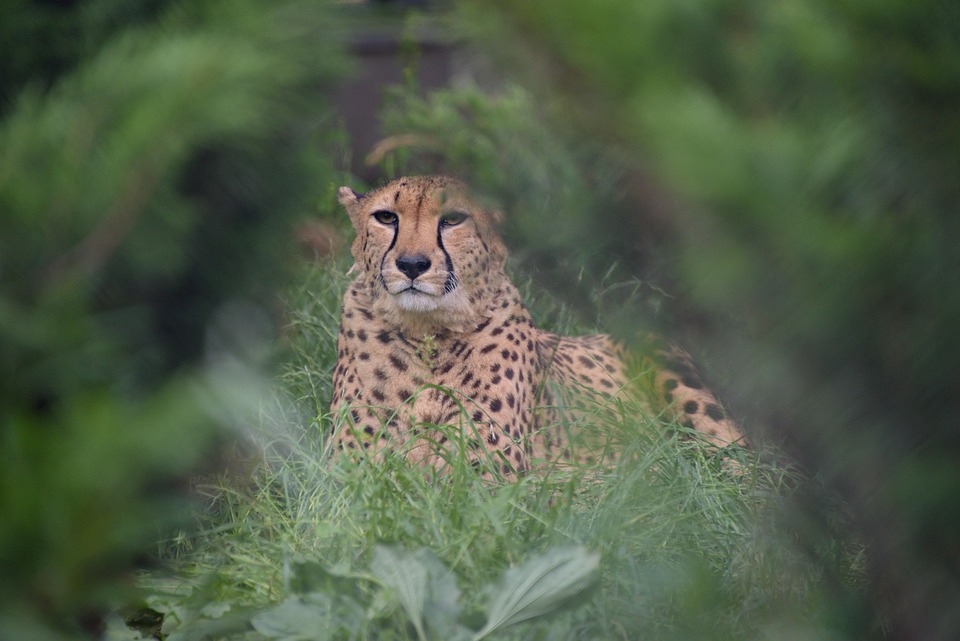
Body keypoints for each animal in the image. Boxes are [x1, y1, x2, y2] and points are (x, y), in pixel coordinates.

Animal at [330, 175, 745, 477]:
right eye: (386, 217)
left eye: (453, 219)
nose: (412, 264)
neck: (427, 334)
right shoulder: (351, 478)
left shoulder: (488, 480)